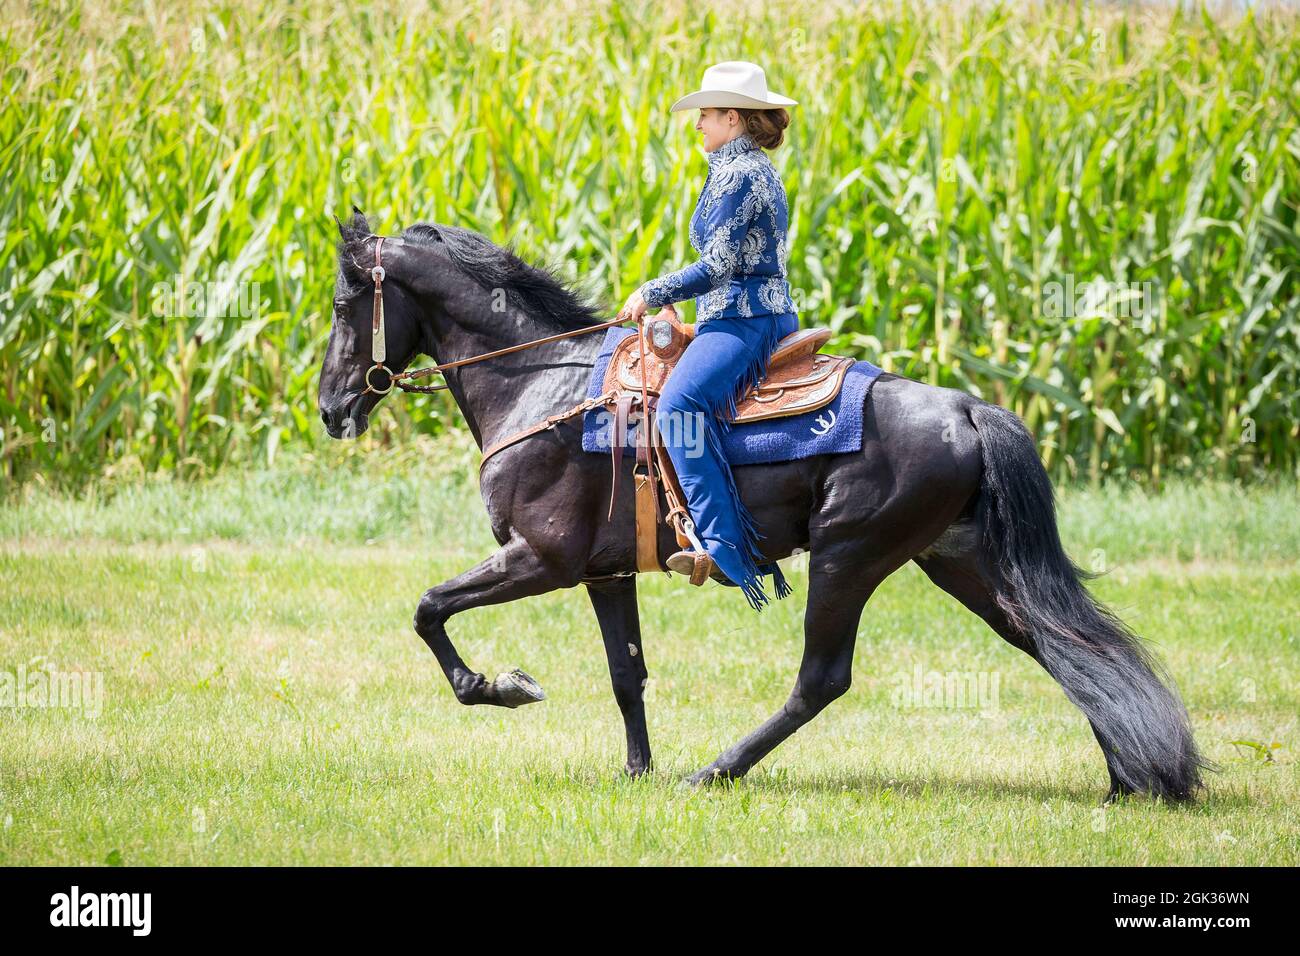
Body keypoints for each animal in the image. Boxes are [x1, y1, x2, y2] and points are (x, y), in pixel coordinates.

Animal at [318, 210, 1206, 802]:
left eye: (341, 305)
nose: (329, 408)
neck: (542, 387)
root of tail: (964, 408)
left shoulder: (541, 558)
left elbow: (429, 608)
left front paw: (502, 687)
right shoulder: (605, 574)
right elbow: (626, 674)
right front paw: (635, 771)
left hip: (850, 558)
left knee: (822, 680)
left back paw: (715, 770)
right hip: (963, 564)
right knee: (1060, 642)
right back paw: (1130, 778)